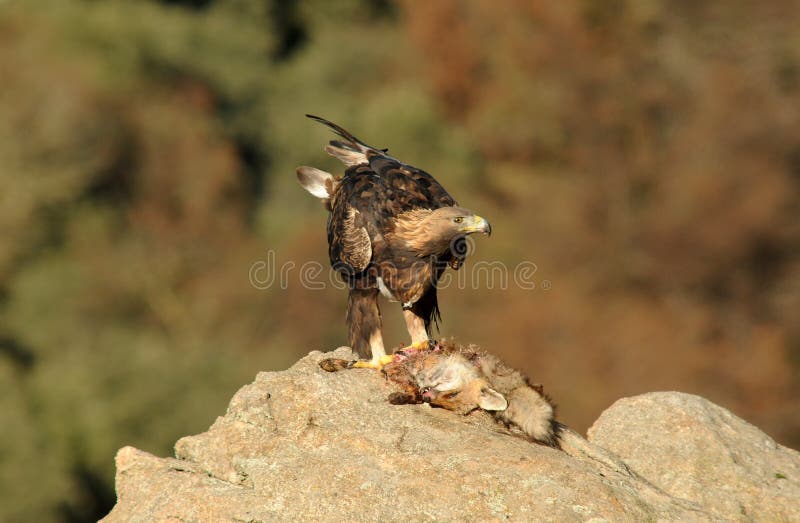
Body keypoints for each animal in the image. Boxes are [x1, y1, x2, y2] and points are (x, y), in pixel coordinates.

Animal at [320, 340, 562, 448]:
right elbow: (365, 362)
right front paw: (333, 362)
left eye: (444, 404)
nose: (429, 398)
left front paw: (402, 397)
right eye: (452, 396)